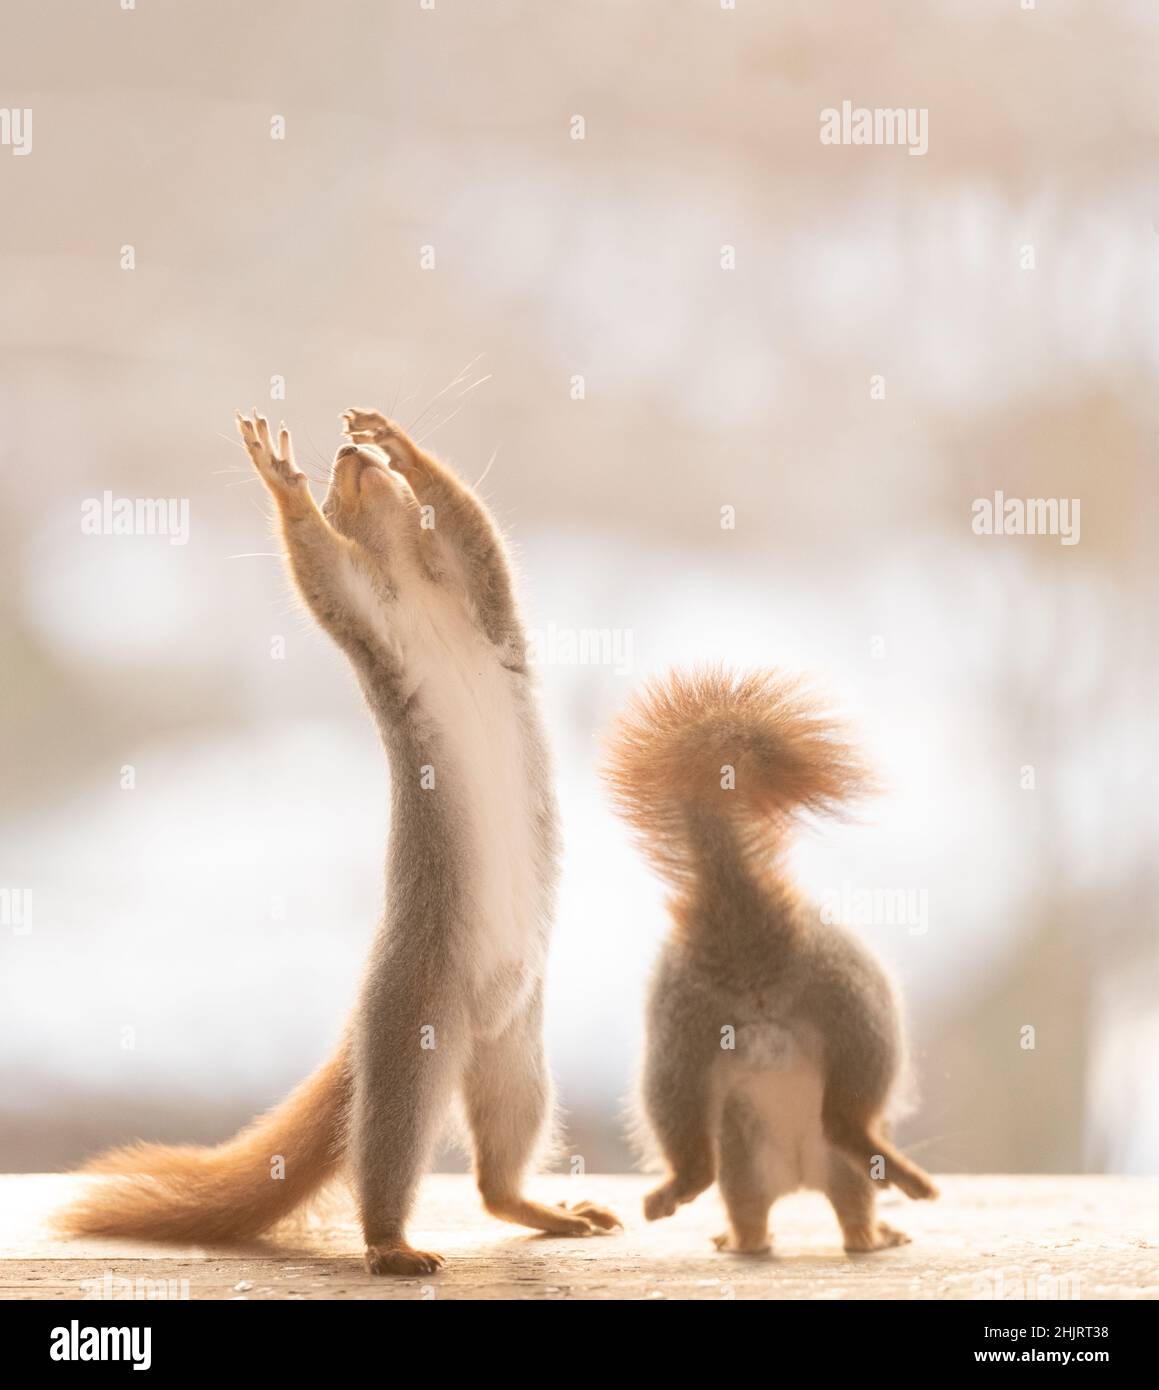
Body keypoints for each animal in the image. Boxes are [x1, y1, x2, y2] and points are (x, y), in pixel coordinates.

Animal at [54, 408, 620, 1275]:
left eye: (356, 465)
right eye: (331, 484)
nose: (352, 455)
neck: (415, 582)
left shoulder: (487, 601)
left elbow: (470, 524)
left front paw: (399, 442)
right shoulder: (367, 617)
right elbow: (319, 567)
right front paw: (281, 478)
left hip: (518, 1056)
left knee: (497, 1169)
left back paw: (546, 1210)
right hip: (410, 1032)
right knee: (389, 1155)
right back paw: (392, 1246)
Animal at [602, 667, 938, 1255]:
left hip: (682, 1039)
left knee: (740, 1197)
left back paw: (723, 1226)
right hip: (854, 1007)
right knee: (844, 1130)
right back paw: (881, 1218)